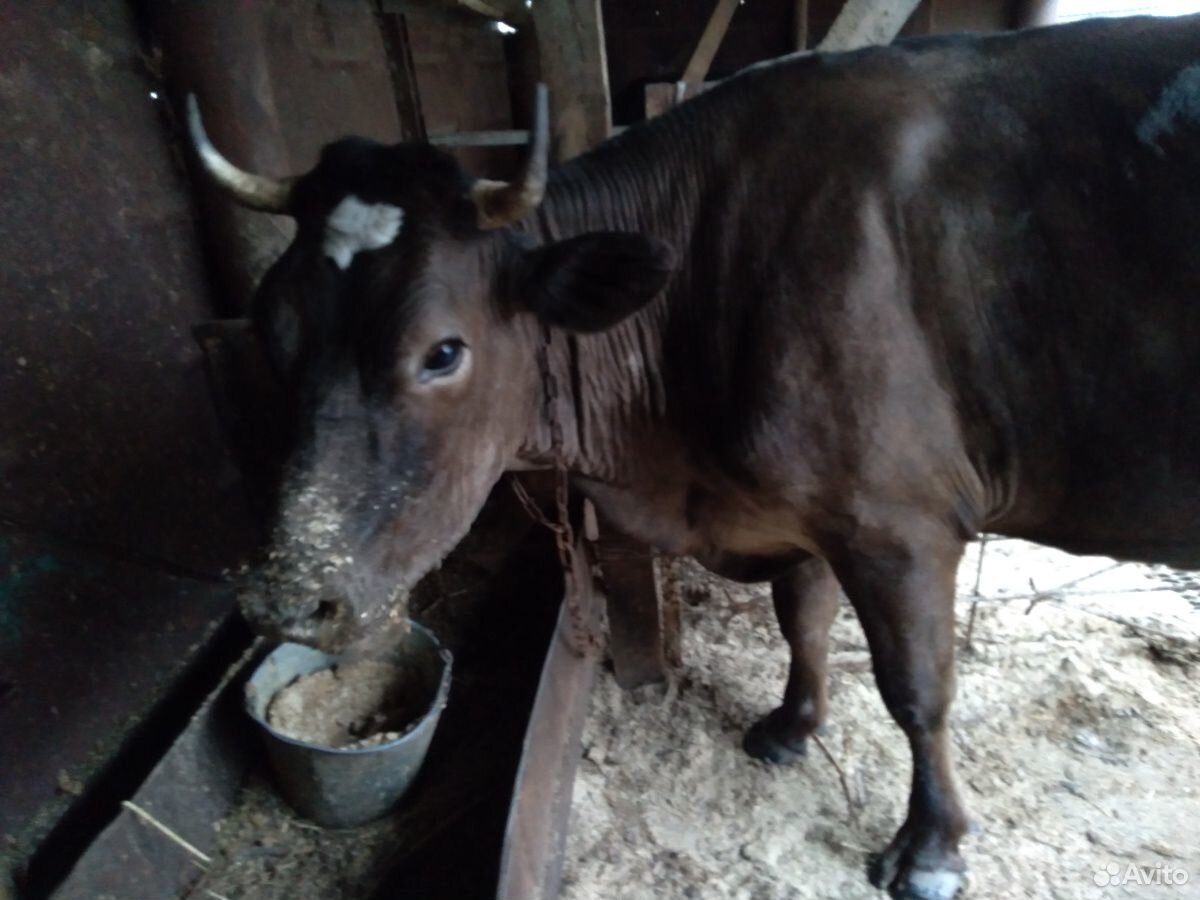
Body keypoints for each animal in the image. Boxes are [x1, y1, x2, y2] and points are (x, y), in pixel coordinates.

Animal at [189, 13, 1200, 899]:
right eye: (273, 328)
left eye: (441, 351)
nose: (285, 598)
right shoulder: (808, 507)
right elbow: (804, 620)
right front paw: (790, 729)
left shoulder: (897, 521)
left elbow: (919, 691)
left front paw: (930, 850)